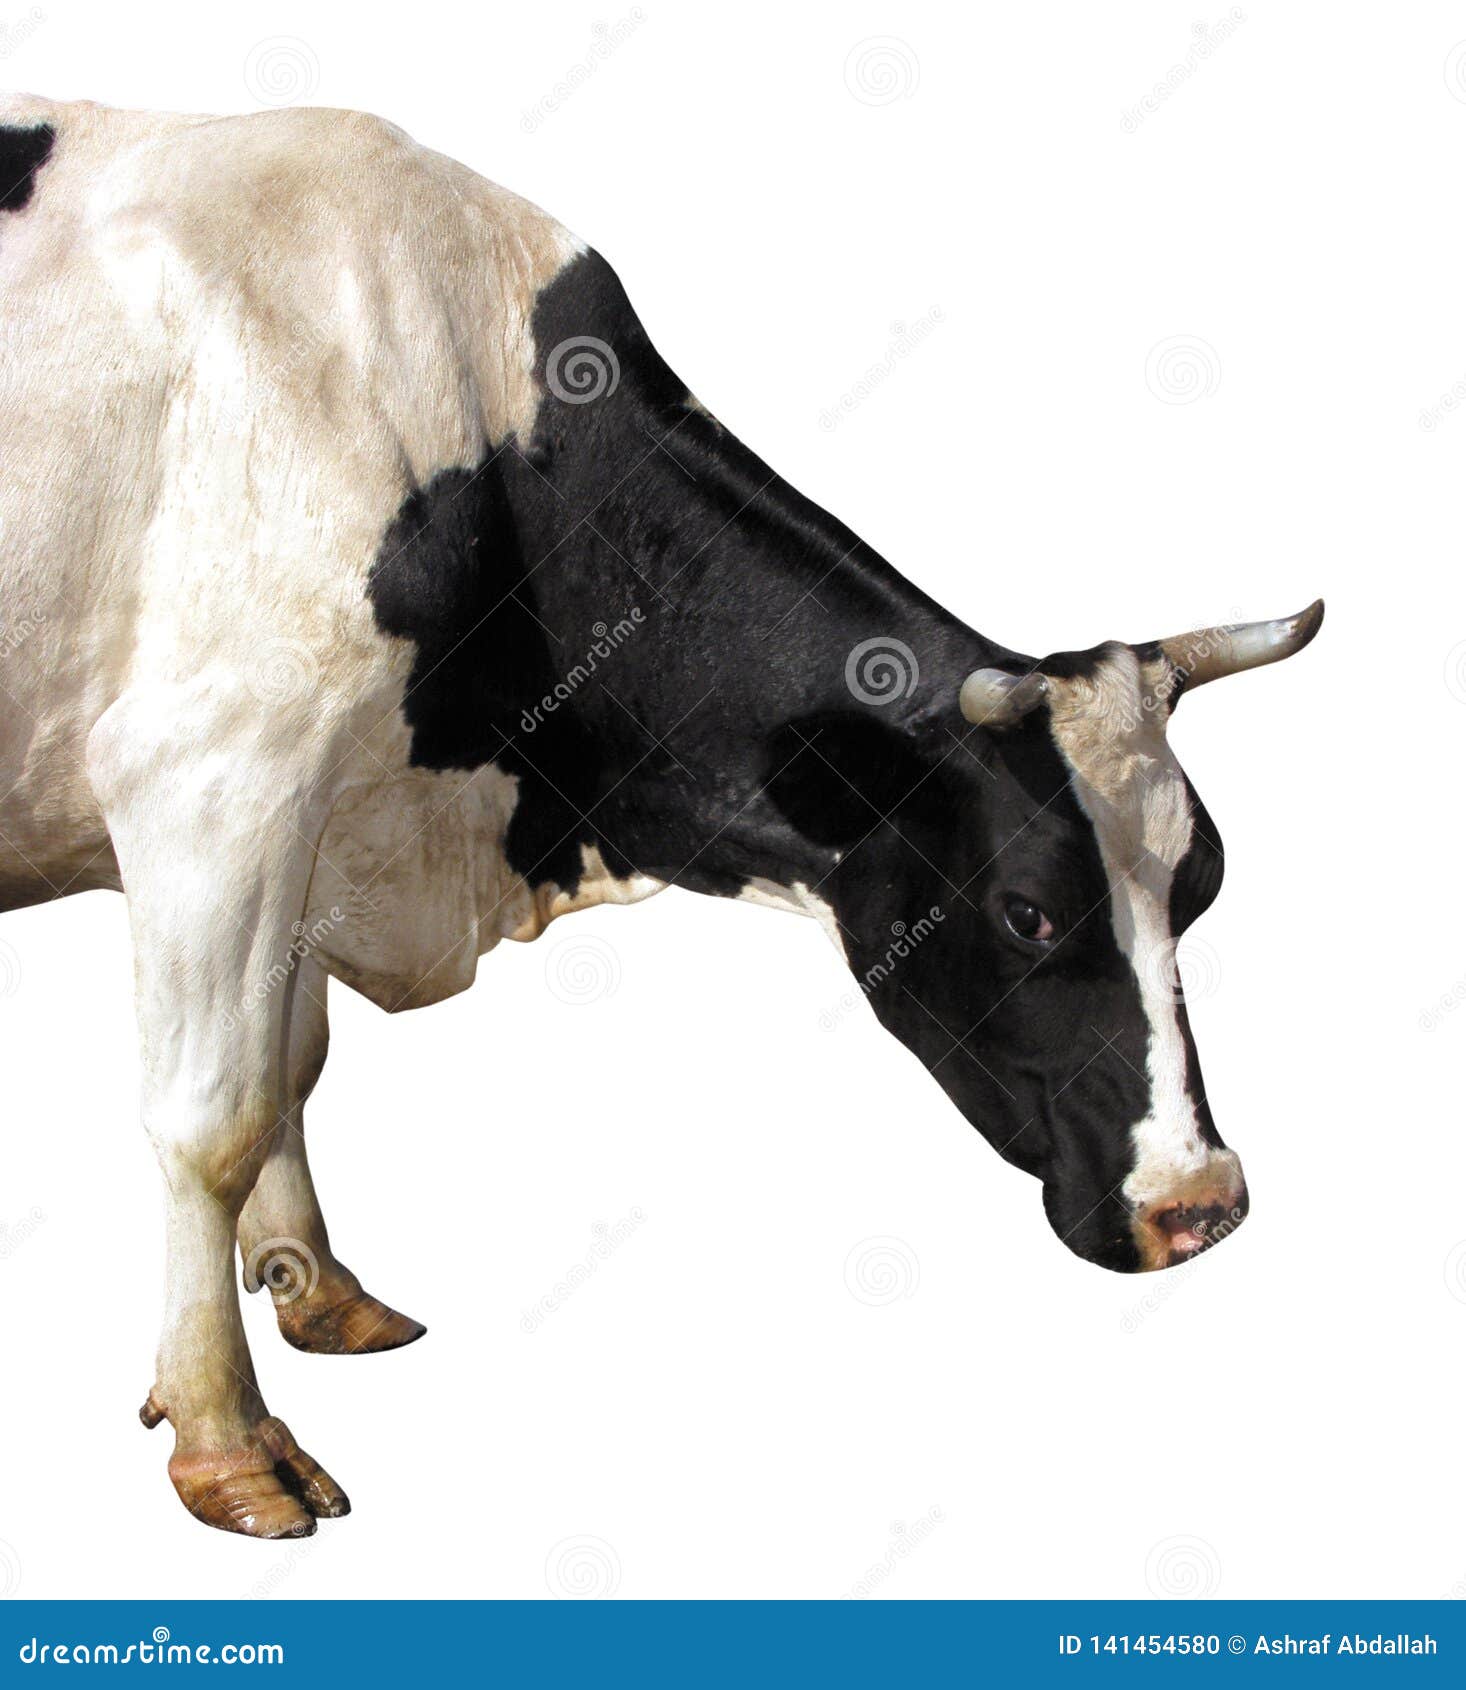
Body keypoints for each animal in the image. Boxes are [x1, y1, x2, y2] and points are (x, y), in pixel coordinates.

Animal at [0, 97, 1322, 1538]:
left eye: (1201, 881)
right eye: (1027, 909)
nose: (1200, 1204)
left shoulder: (319, 820)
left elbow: (291, 1064)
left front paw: (317, 1289)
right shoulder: (213, 773)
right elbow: (215, 1117)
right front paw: (224, 1432)